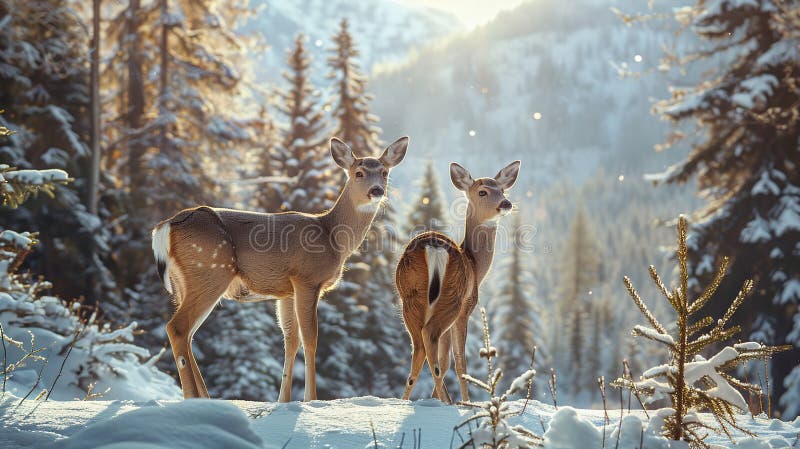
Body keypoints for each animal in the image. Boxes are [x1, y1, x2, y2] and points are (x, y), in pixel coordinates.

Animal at [151, 137, 408, 402]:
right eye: (359, 172)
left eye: (384, 172)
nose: (377, 190)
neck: (333, 238)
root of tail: (164, 227)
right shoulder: (307, 278)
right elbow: (310, 338)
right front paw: (311, 398)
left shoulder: (286, 291)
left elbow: (291, 340)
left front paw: (283, 400)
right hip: (210, 271)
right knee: (178, 328)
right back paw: (193, 397)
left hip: (185, 282)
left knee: (188, 333)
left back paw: (204, 397)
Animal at [395, 160, 521, 403]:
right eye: (482, 191)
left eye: (503, 190)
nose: (506, 203)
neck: (474, 263)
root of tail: (433, 248)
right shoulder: (467, 308)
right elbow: (459, 360)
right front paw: (465, 401)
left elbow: (444, 360)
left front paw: (436, 399)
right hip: (452, 296)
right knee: (430, 339)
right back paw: (450, 401)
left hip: (410, 296)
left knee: (420, 348)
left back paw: (410, 400)